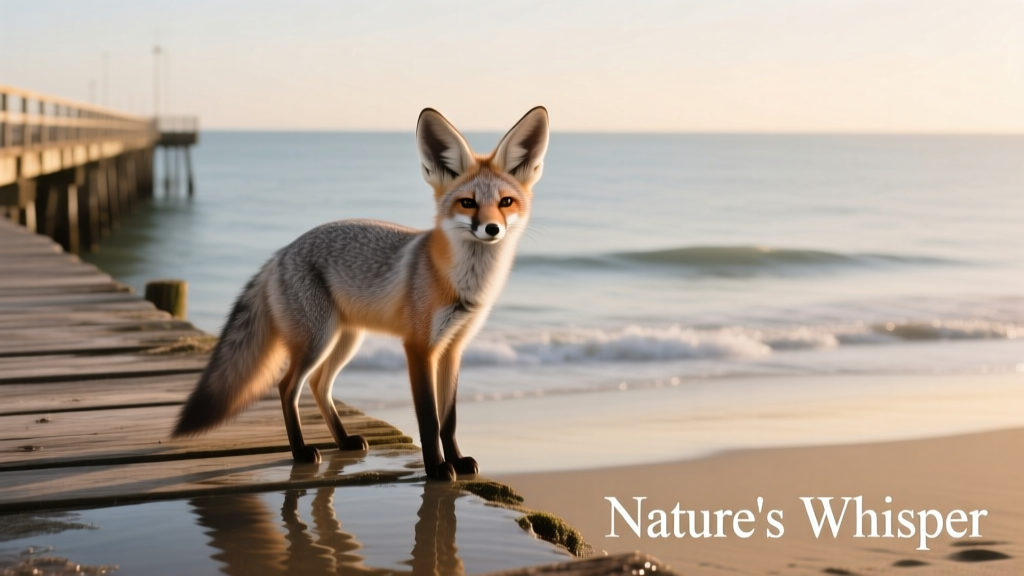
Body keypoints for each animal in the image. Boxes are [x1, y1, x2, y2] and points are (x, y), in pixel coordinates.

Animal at [171, 106, 549, 480]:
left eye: (506, 202)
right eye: (467, 203)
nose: (492, 228)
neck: (461, 283)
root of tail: (281, 252)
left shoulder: (453, 348)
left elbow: (449, 420)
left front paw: (456, 461)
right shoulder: (419, 348)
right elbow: (429, 419)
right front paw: (437, 468)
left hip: (345, 341)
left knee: (318, 386)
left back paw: (342, 441)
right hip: (317, 340)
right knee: (288, 387)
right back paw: (300, 452)